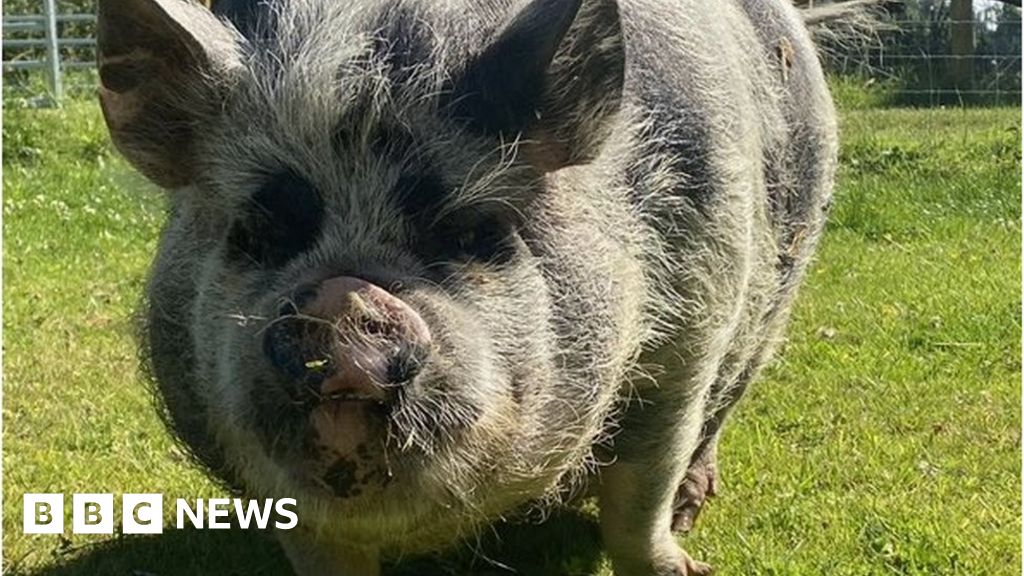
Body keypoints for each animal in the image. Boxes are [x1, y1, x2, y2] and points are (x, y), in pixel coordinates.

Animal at [95, 0, 838, 573]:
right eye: (256, 231)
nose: (343, 299)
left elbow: (641, 491)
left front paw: (688, 566)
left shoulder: (689, 341)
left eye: (472, 231)